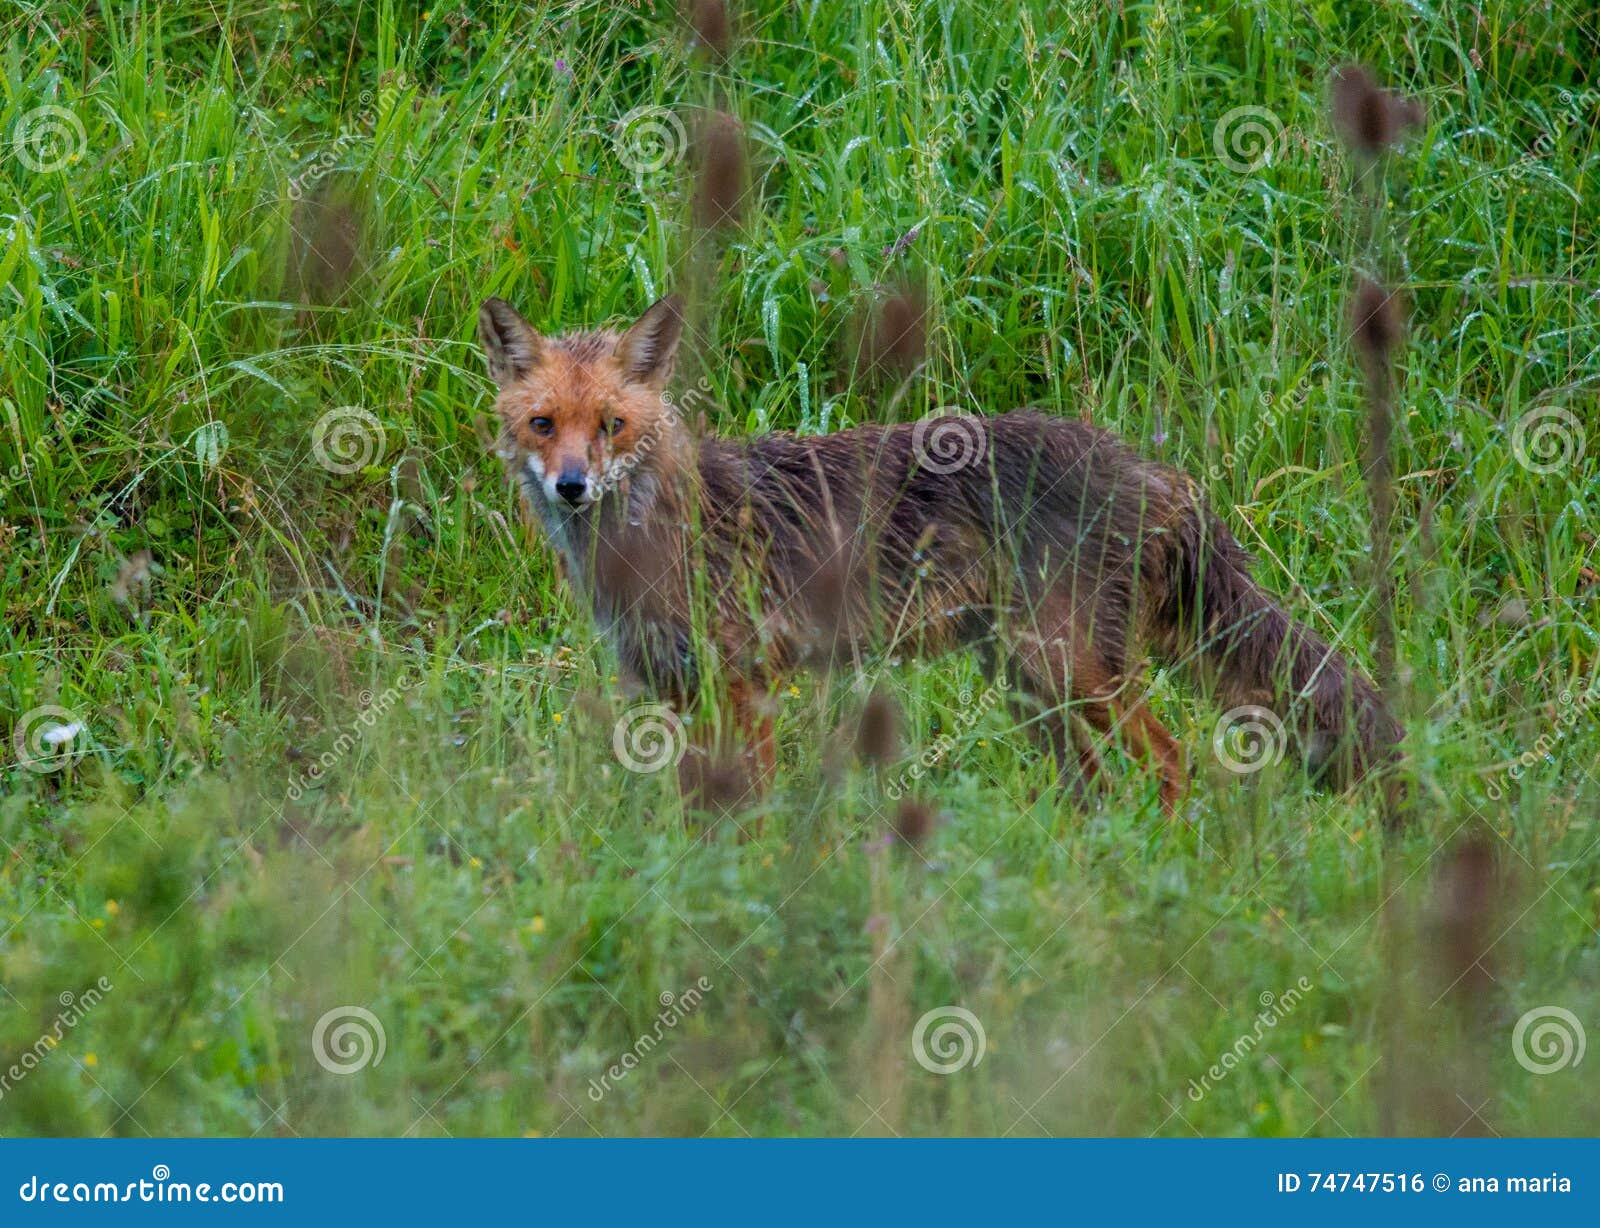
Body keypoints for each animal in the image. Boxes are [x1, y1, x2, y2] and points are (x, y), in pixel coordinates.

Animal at [478, 292, 1403, 815]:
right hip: (1031, 688)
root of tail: (1158, 469)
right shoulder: (669, 689)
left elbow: (751, 807)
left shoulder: (744, 683)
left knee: (1173, 766)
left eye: (612, 425)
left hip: (1069, 671)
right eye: (543, 424)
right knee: (1101, 788)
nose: (572, 487)